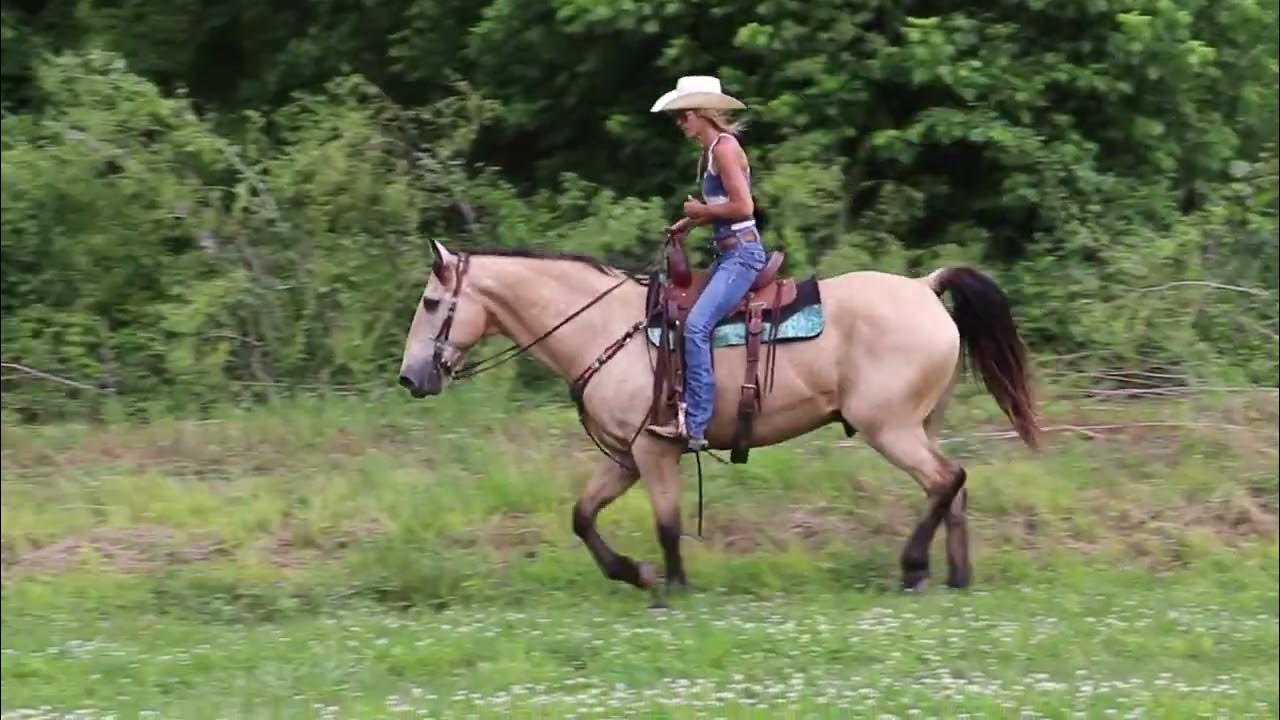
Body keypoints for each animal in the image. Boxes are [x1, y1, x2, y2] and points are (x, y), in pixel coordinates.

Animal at [398, 240, 1040, 604]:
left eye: (430, 303)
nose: (410, 378)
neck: (605, 327)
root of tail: (924, 287)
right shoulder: (627, 457)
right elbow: (582, 517)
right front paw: (635, 574)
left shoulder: (654, 450)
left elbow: (667, 524)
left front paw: (672, 587)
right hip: (920, 424)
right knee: (952, 487)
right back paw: (954, 577)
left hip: (891, 429)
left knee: (945, 480)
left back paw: (913, 569)